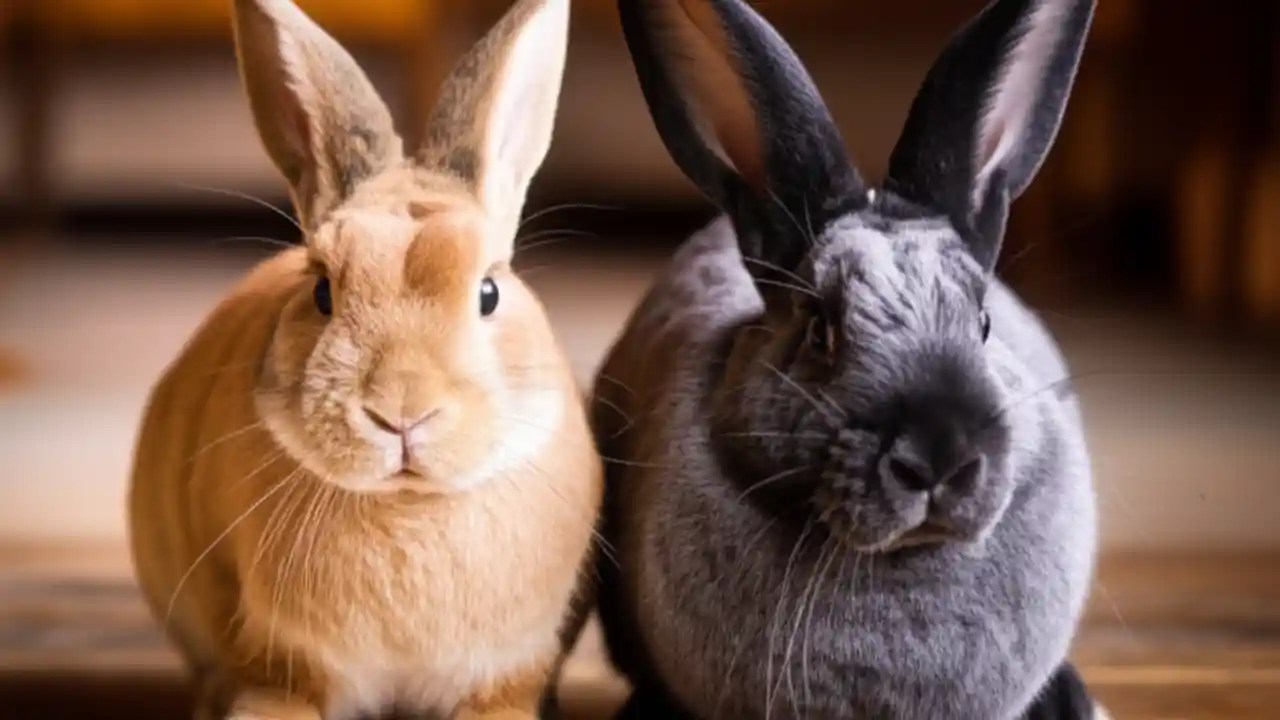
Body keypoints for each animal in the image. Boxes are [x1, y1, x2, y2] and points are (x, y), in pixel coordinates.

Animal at [127, 0, 604, 718]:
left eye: (488, 292)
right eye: (322, 291)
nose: (401, 411)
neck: (409, 506)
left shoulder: (505, 677)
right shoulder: (279, 670)